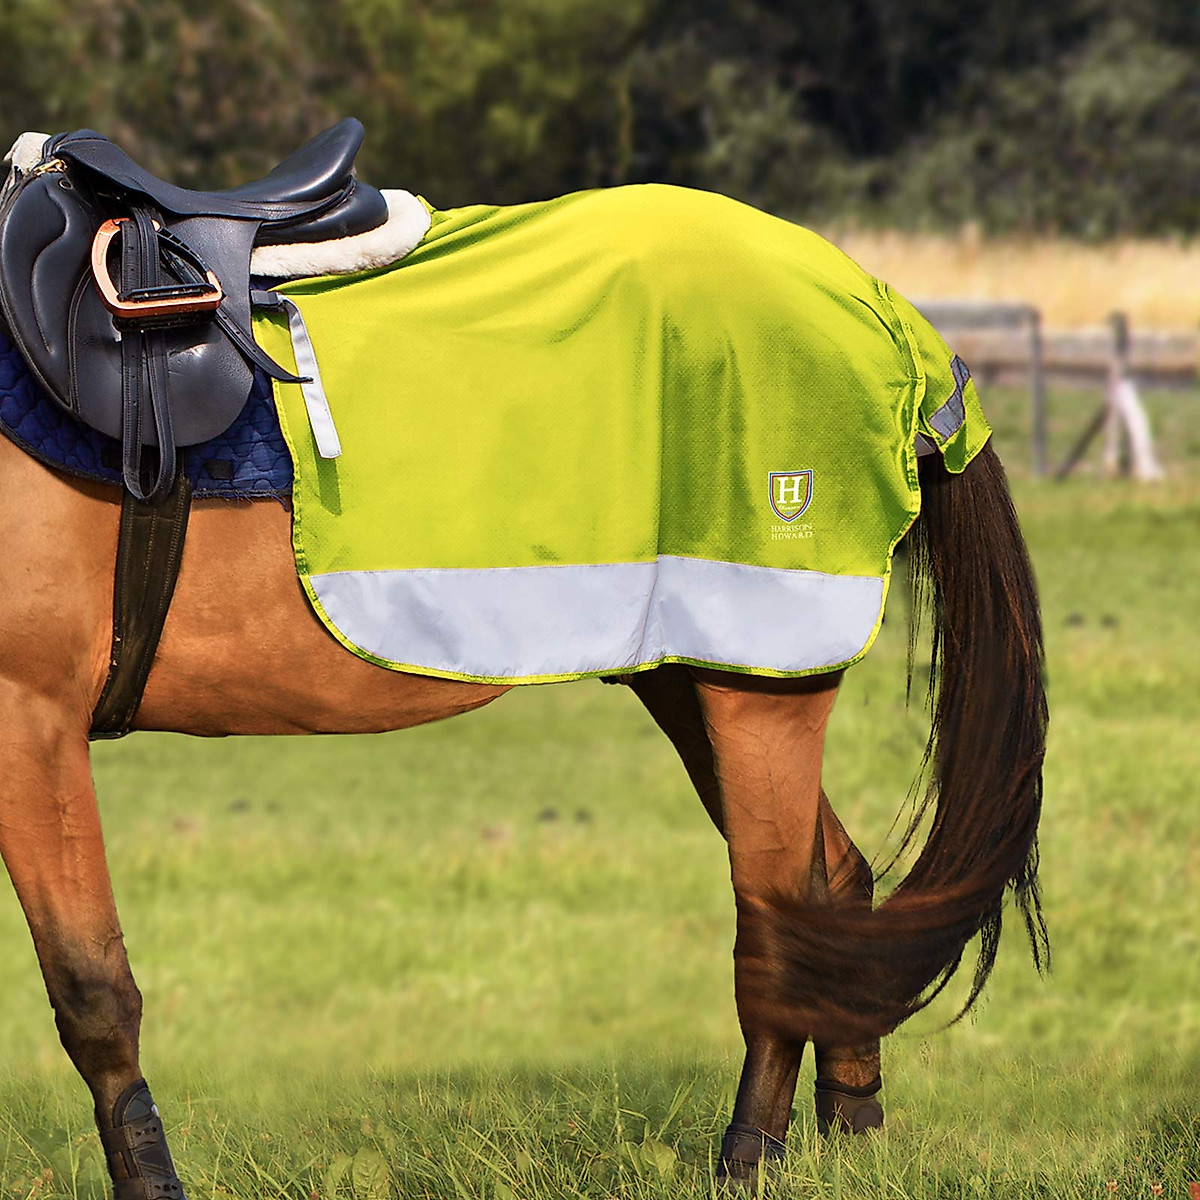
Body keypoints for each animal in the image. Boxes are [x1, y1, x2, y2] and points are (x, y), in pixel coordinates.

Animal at [0, 183, 1047, 1198]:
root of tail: (877, 303)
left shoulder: (30, 718)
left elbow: (92, 989)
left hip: (761, 682)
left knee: (781, 911)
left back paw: (748, 1156)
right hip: (702, 675)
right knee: (837, 885)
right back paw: (854, 1127)